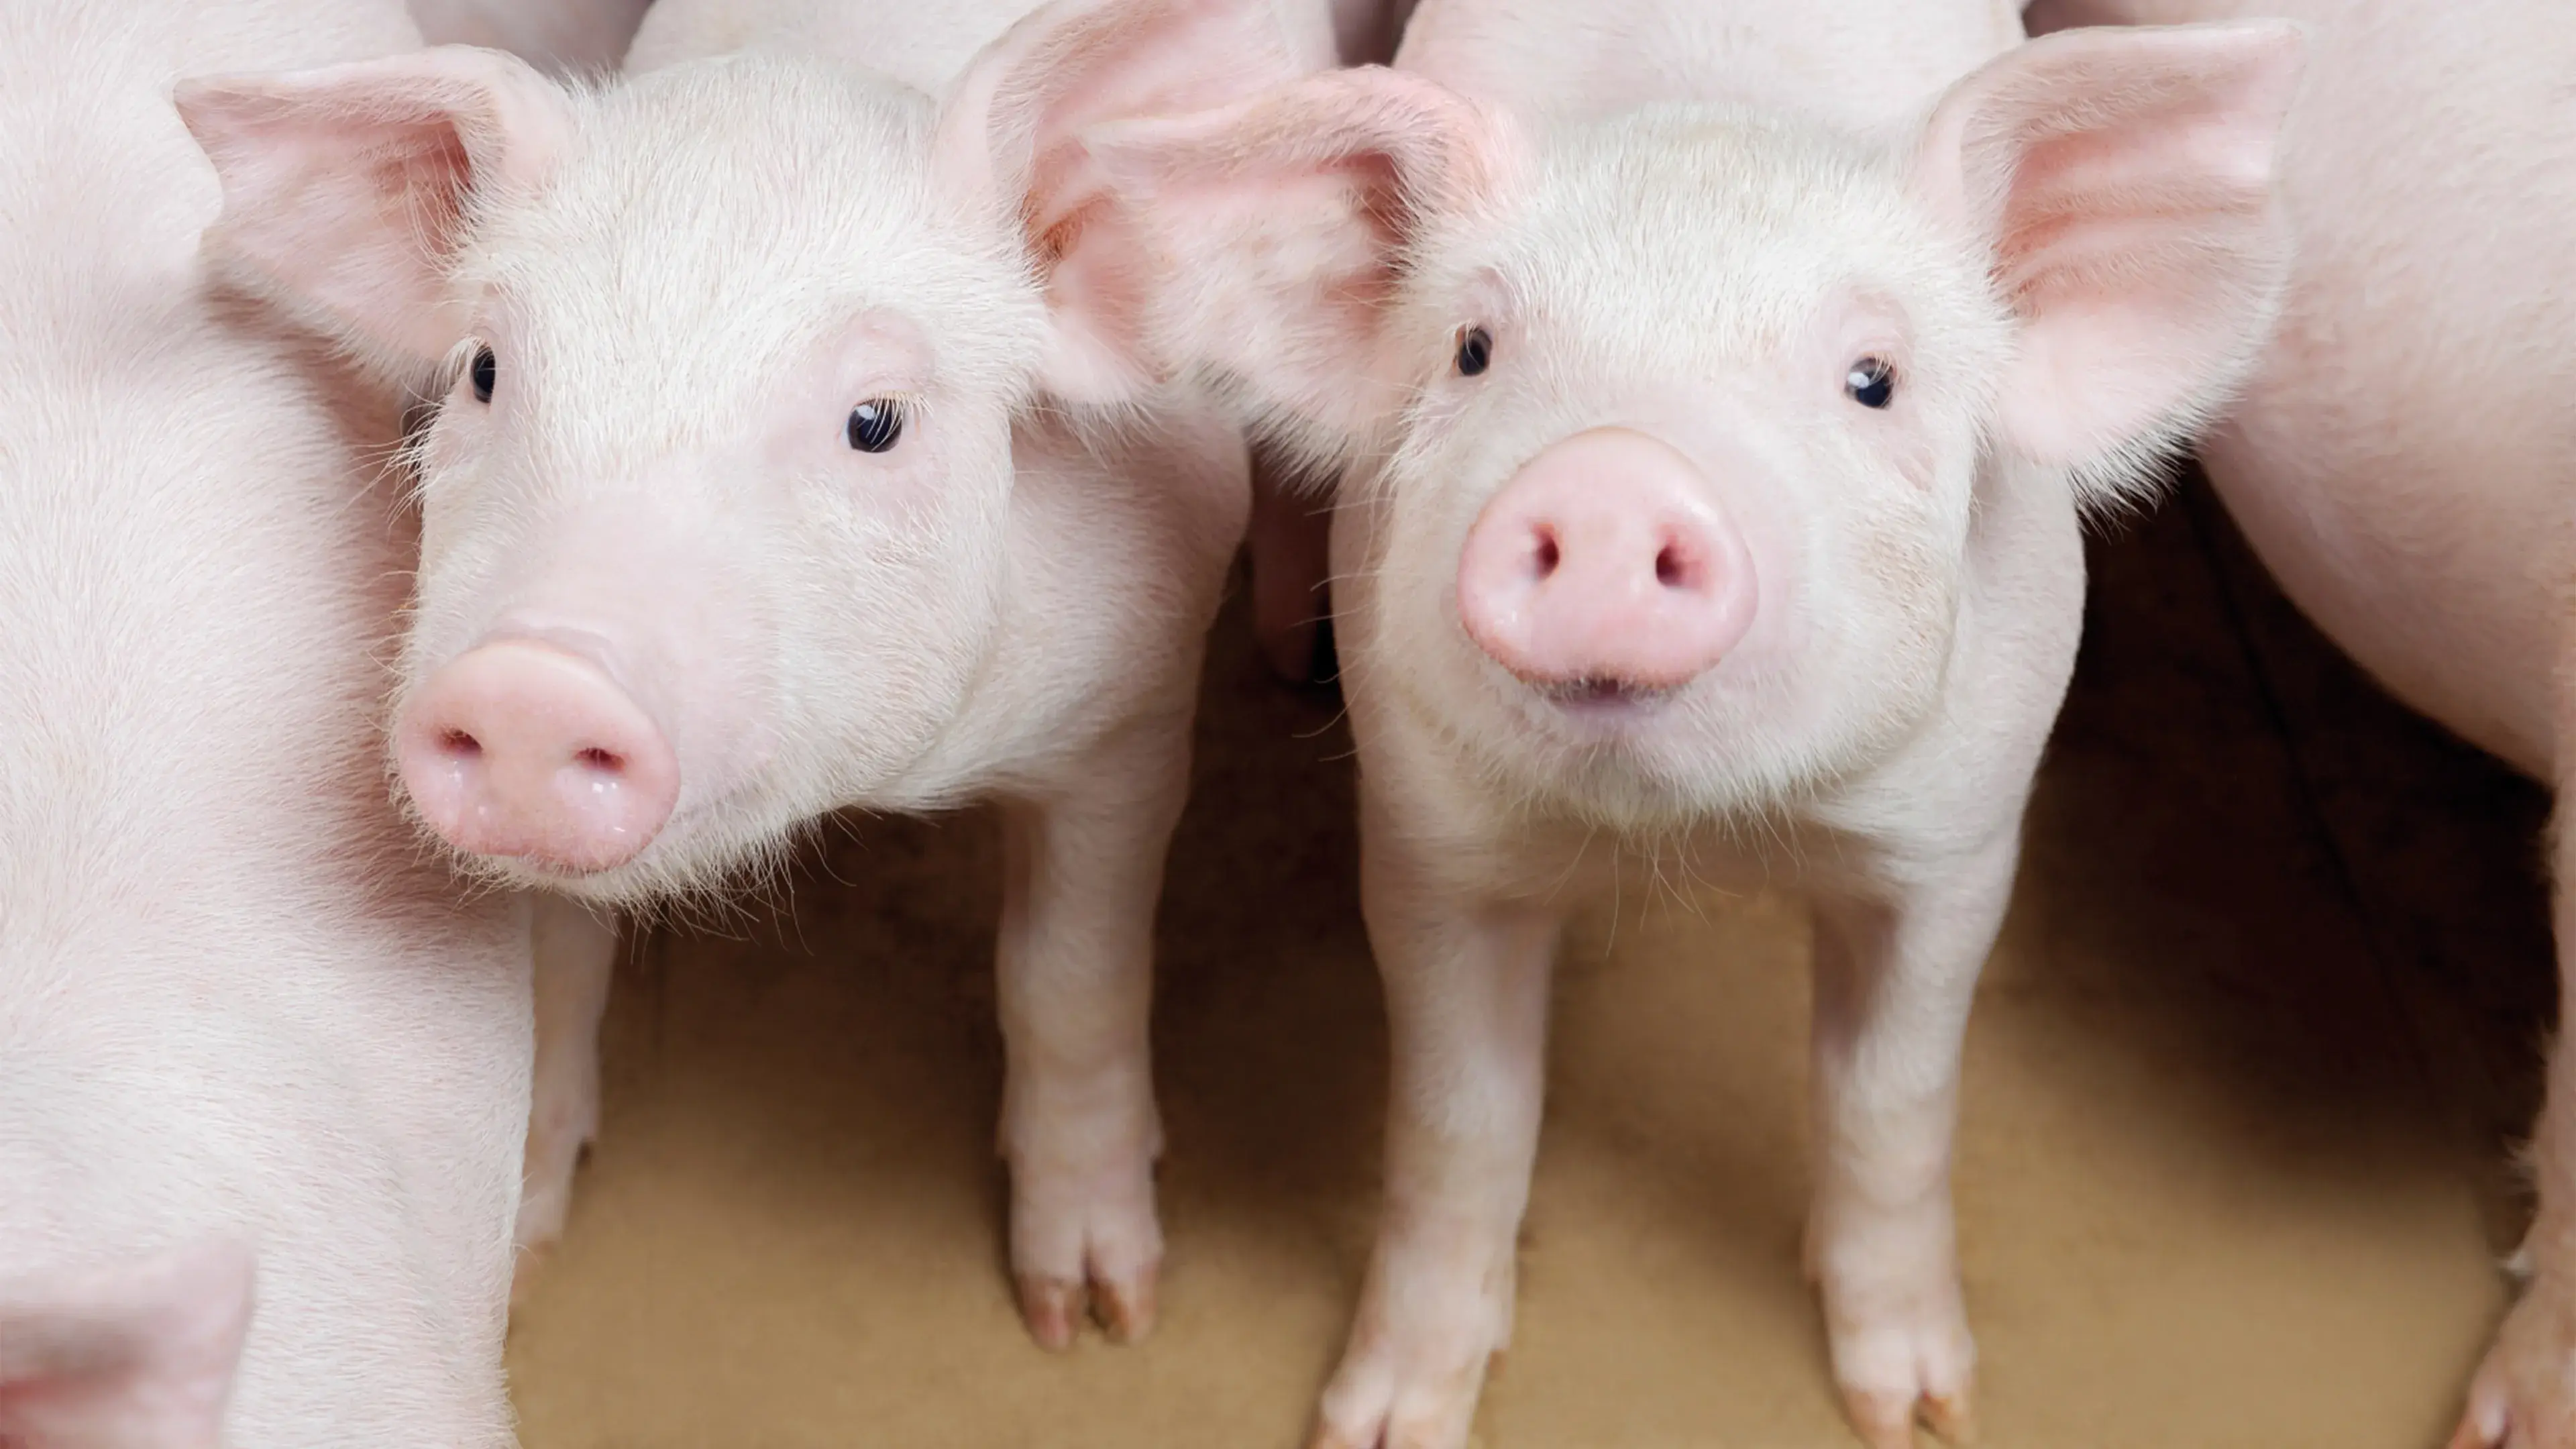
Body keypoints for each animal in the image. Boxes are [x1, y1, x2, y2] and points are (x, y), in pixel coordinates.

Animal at [178, 0, 1337, 1349]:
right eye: (484, 371)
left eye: (877, 420)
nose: (532, 681)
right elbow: (558, 974)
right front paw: (517, 1271)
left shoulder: (1134, 707)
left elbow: (1068, 977)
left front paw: (1093, 1321)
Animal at [1086, 4, 2304, 1444]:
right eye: (1474, 350)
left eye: (1875, 380)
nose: (1612, 477)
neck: (1702, 839)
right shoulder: (1428, 836)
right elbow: (1458, 1123)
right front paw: (1378, 1423)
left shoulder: (1961, 843)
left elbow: (1893, 1102)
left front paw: (1920, 1410)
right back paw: (1293, 658)